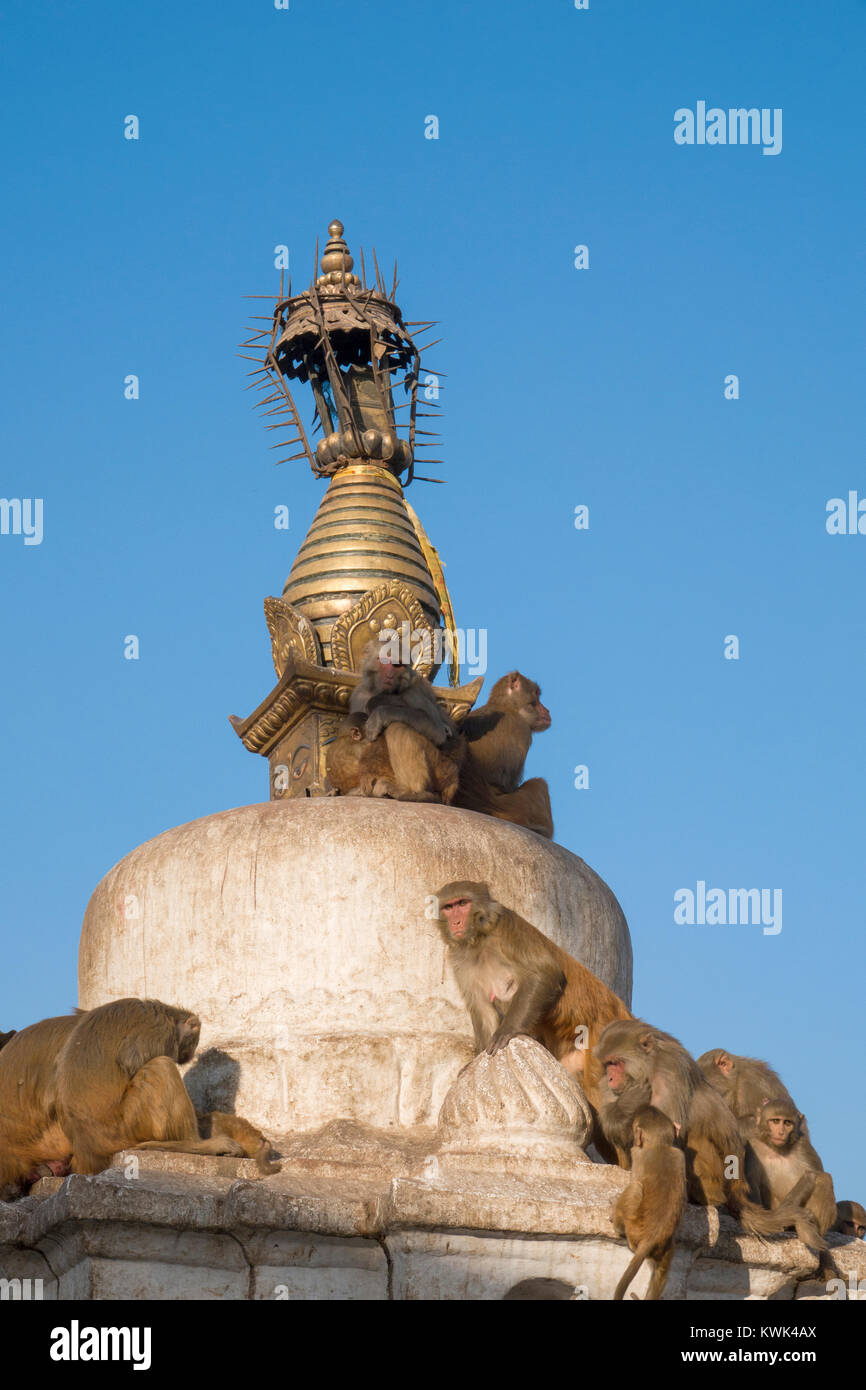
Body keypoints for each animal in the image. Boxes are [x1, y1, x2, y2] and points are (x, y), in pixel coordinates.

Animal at [0, 999, 279, 1198]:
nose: (186, 1056)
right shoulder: (157, 1031)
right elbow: (135, 1060)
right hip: (128, 1124)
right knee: (160, 1067)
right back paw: (198, 1145)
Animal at [594, 1020, 826, 1251]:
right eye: (607, 1064)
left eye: (615, 1063)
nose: (611, 1078)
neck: (649, 1065)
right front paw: (626, 1103)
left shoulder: (669, 1069)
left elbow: (669, 1128)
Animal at [611, 1106, 687, 1301]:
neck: (659, 1145)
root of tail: (650, 1239)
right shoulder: (680, 1156)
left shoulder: (636, 1153)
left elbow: (634, 1178)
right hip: (663, 1249)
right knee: (662, 1270)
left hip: (633, 1227)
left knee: (635, 1188)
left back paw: (617, 1226)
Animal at [745, 1099, 837, 1237]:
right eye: (776, 1121)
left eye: (787, 1123)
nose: (781, 1133)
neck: (777, 1150)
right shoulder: (753, 1147)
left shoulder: (803, 1147)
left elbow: (812, 1173)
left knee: (823, 1178)